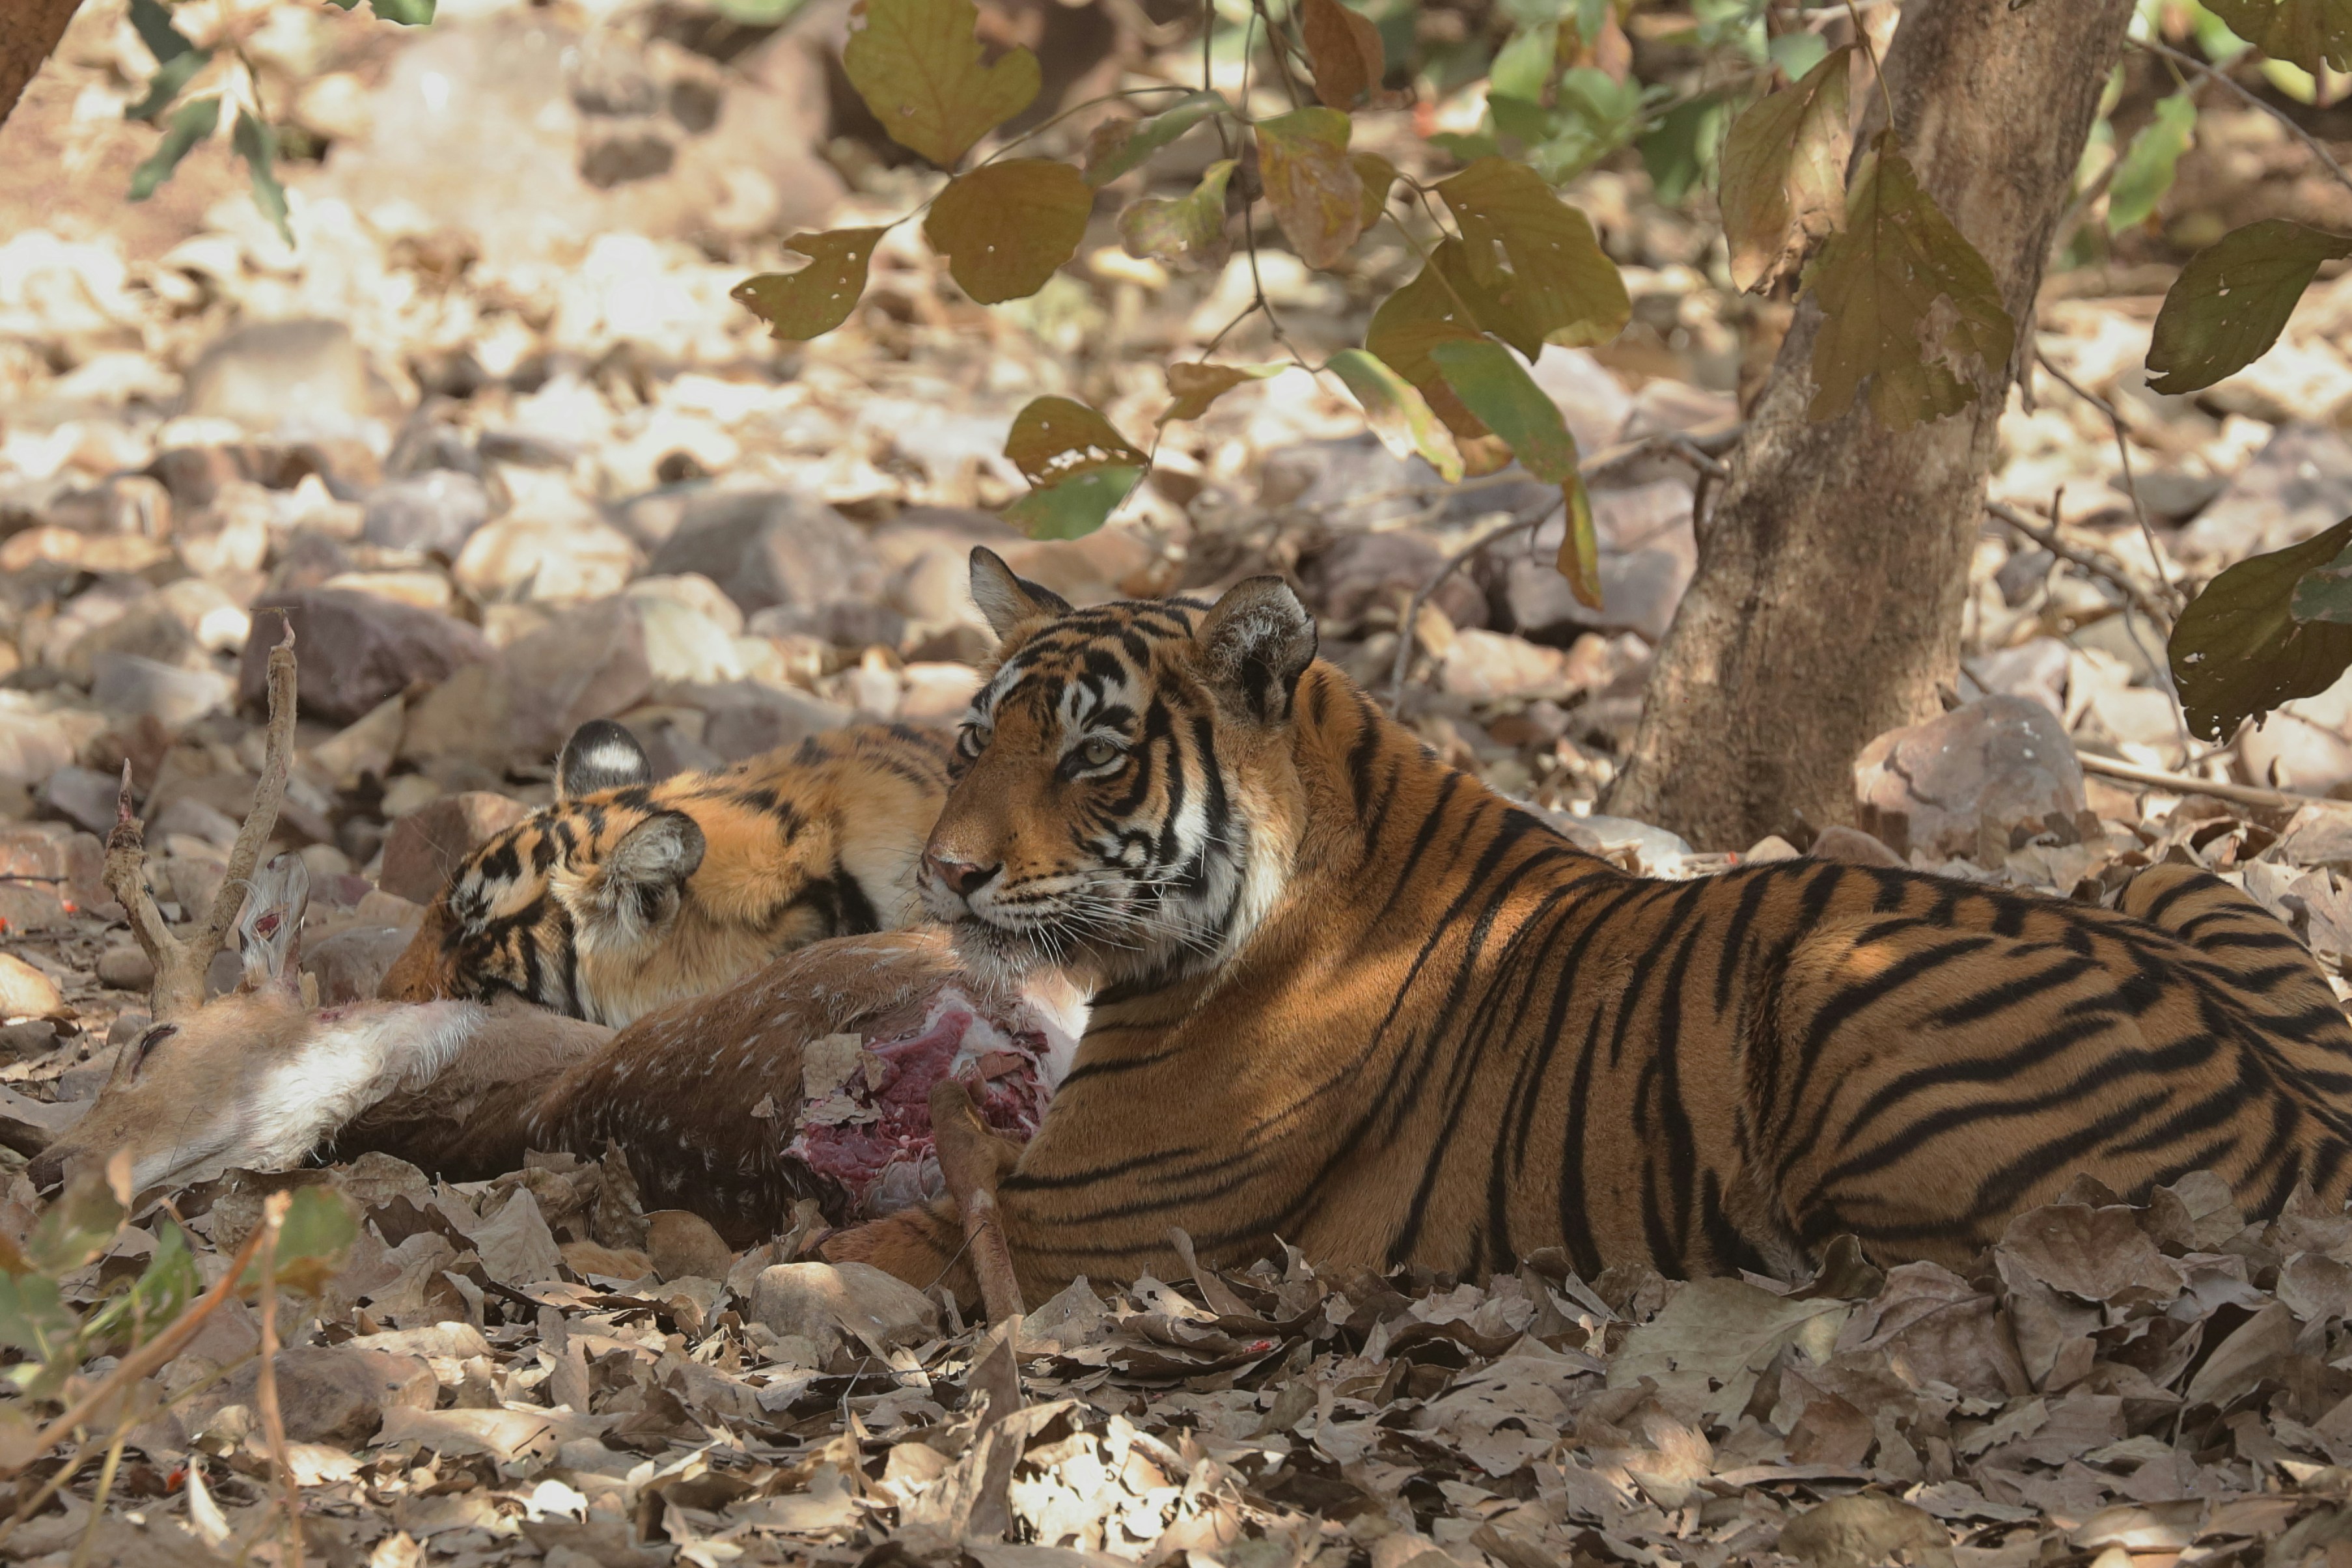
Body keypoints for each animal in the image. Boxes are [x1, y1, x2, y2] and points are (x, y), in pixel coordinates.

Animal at [827, 547, 2352, 1303]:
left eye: (1093, 757)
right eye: (972, 741)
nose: (946, 873)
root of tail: (2303, 1120)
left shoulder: (1076, 1221)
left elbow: (833, 1251)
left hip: (1839, 990)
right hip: (2152, 880)